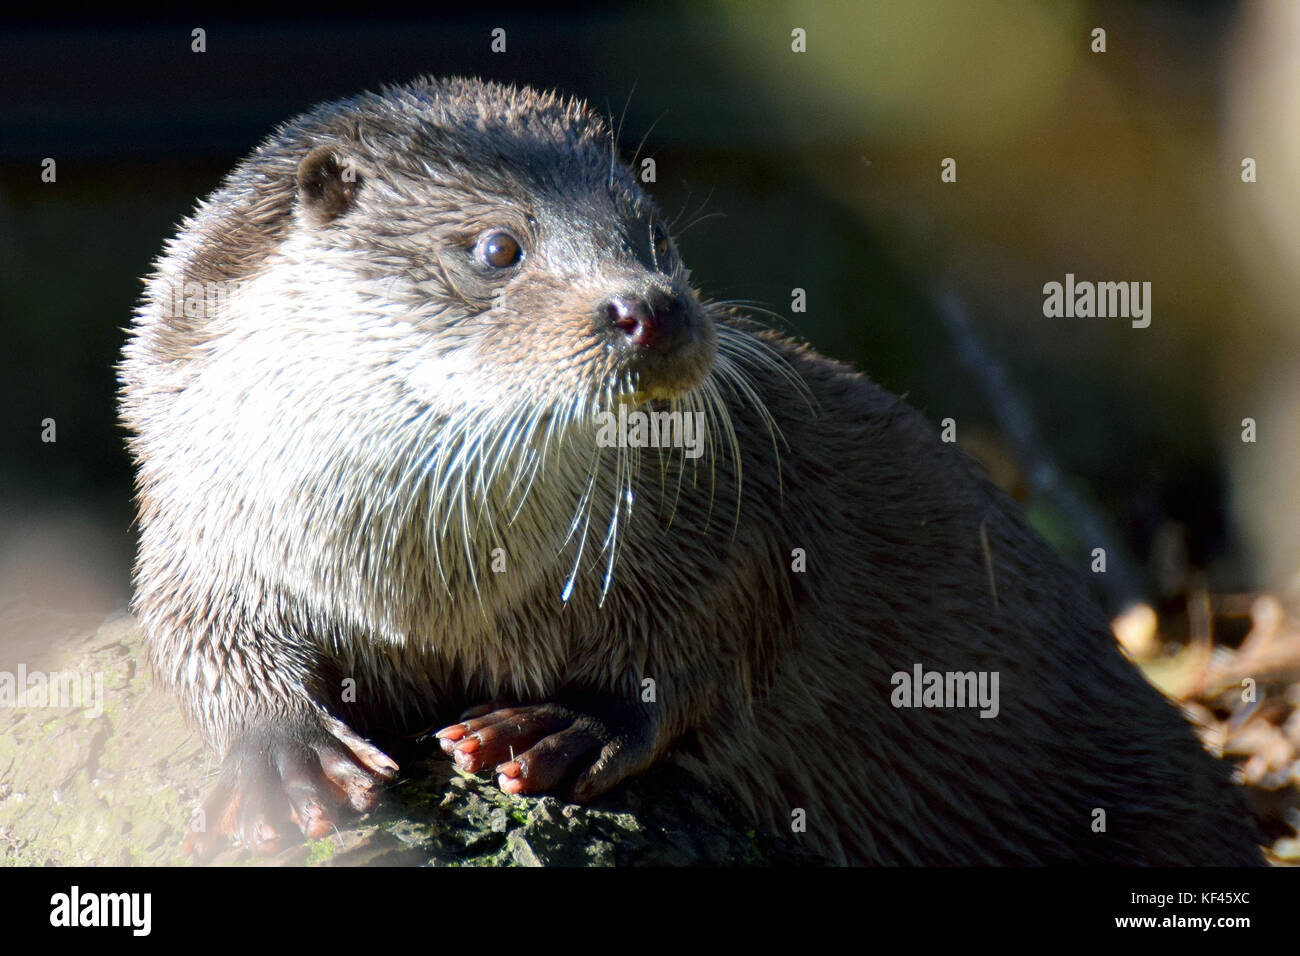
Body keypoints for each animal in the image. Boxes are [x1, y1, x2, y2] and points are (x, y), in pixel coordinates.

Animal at [118, 76, 1261, 865]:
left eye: (652, 231)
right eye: (497, 247)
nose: (651, 306)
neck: (427, 590)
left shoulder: (740, 514)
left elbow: (726, 628)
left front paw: (571, 721)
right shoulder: (197, 523)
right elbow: (190, 631)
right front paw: (283, 753)